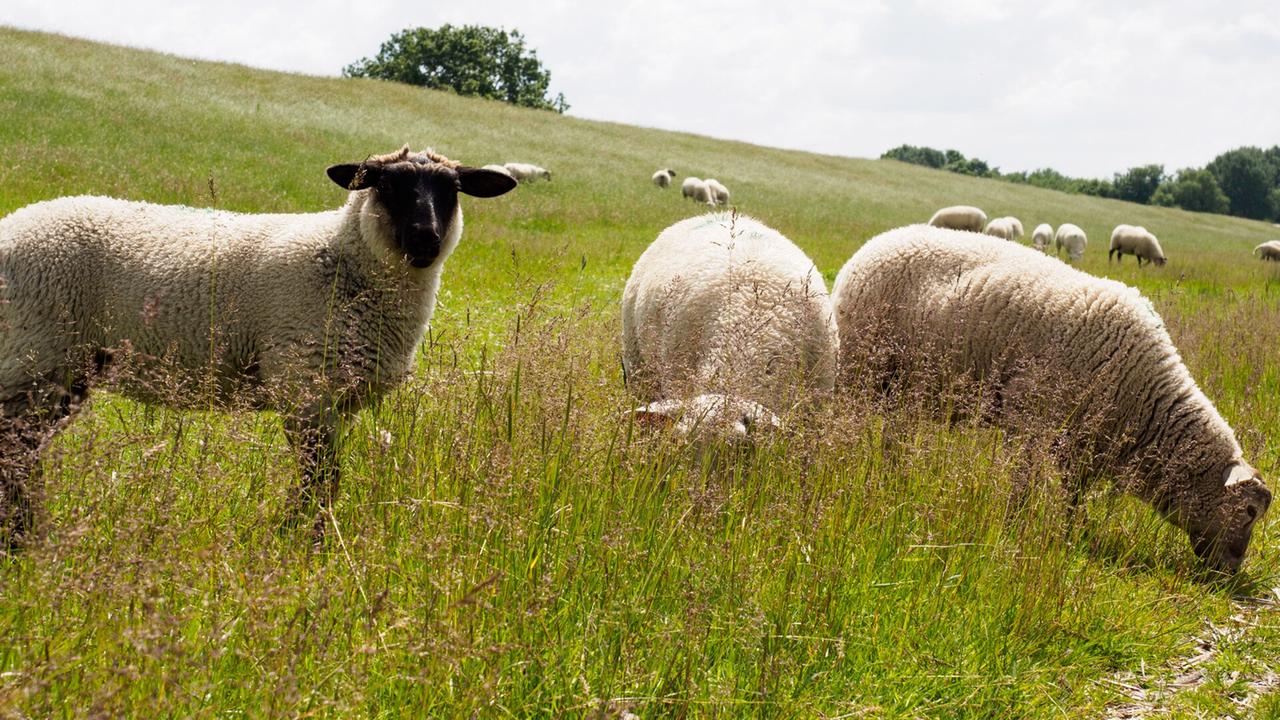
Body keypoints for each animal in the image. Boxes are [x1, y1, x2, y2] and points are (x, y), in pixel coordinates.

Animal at [0, 146, 517, 548]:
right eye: (387, 186)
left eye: (452, 190)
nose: (425, 239)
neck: (344, 260)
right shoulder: (304, 385)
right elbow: (319, 478)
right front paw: (302, 544)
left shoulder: (341, 398)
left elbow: (325, 480)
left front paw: (308, 539)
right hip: (32, 354)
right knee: (14, 452)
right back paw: (20, 542)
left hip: (64, 370)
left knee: (25, 452)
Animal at [831, 225, 1270, 573]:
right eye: (1249, 512)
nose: (1232, 571)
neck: (1144, 400)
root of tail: (870, 246)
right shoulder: (1028, 416)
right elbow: (1023, 481)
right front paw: (1015, 523)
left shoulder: (1082, 444)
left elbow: (1072, 494)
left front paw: (1073, 529)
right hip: (862, 366)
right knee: (845, 422)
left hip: (900, 386)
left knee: (893, 434)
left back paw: (895, 473)